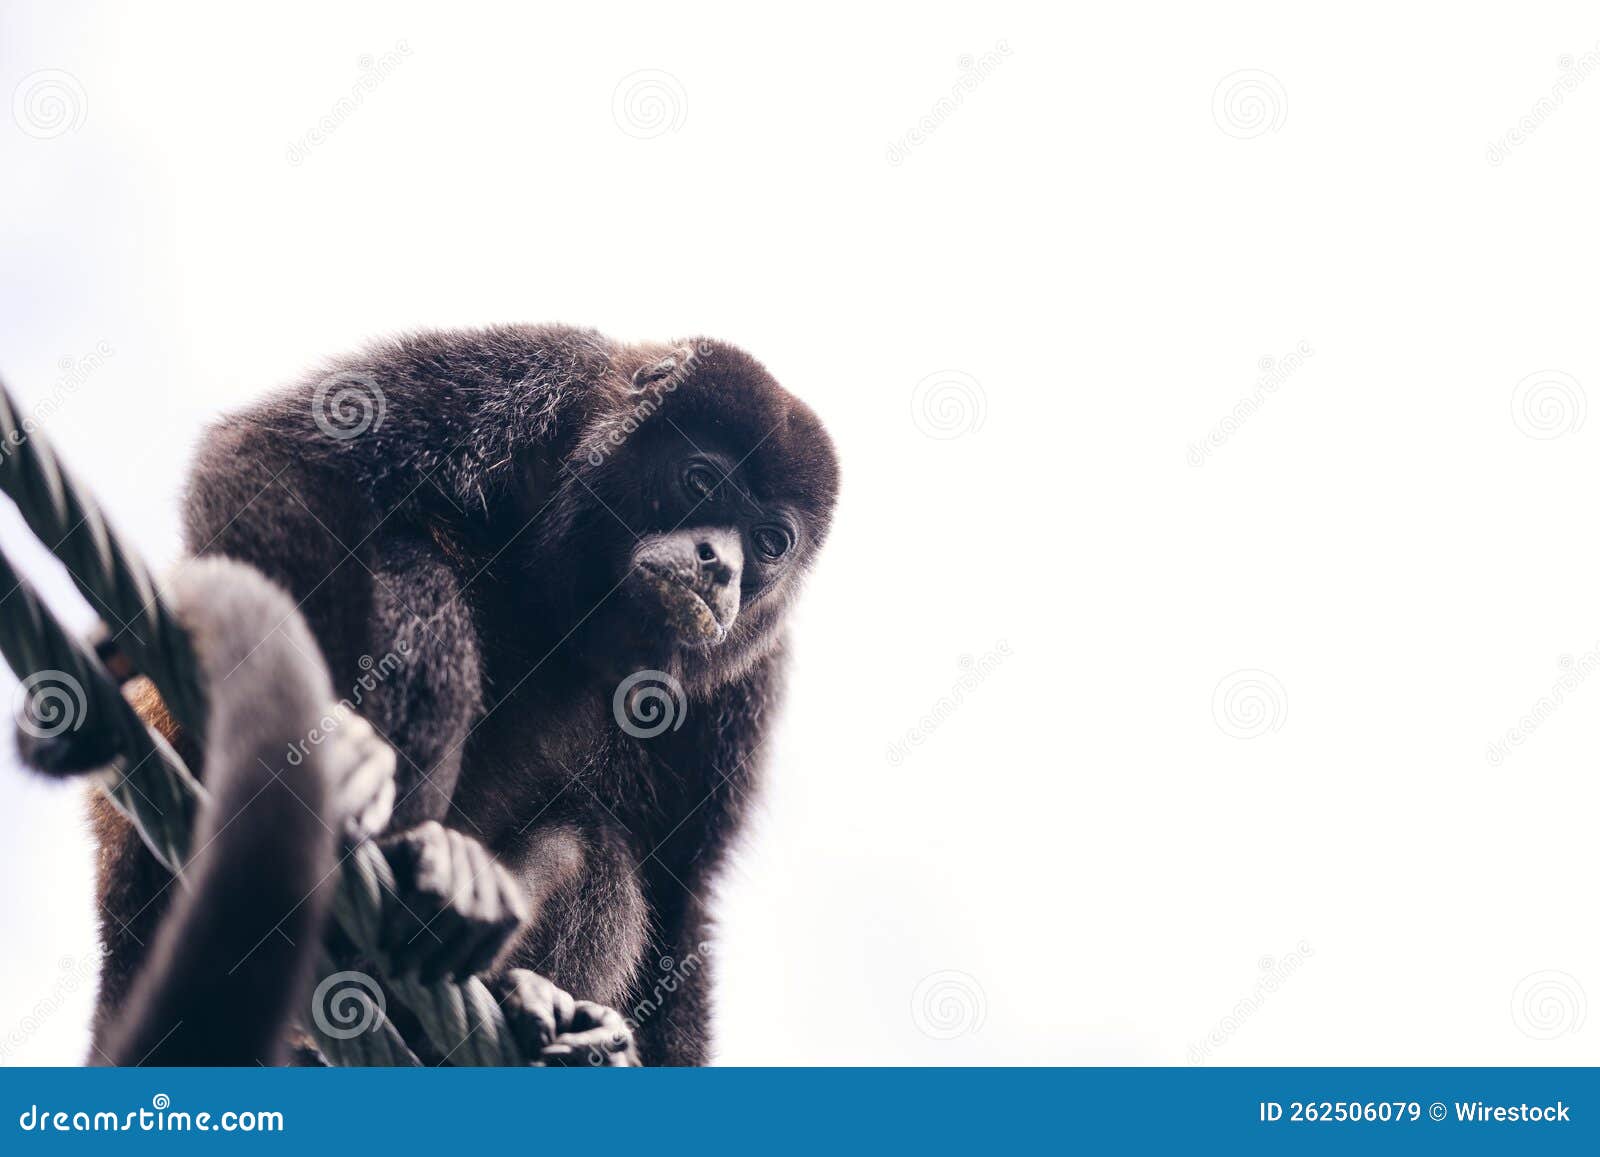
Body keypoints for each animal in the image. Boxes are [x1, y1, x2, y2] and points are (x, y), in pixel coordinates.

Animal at [75, 325, 839, 1065]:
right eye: (700, 481)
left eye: (769, 542)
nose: (721, 566)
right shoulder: (538, 374)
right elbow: (276, 454)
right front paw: (339, 741)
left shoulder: (751, 679)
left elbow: (682, 886)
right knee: (414, 570)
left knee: (596, 848)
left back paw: (518, 987)